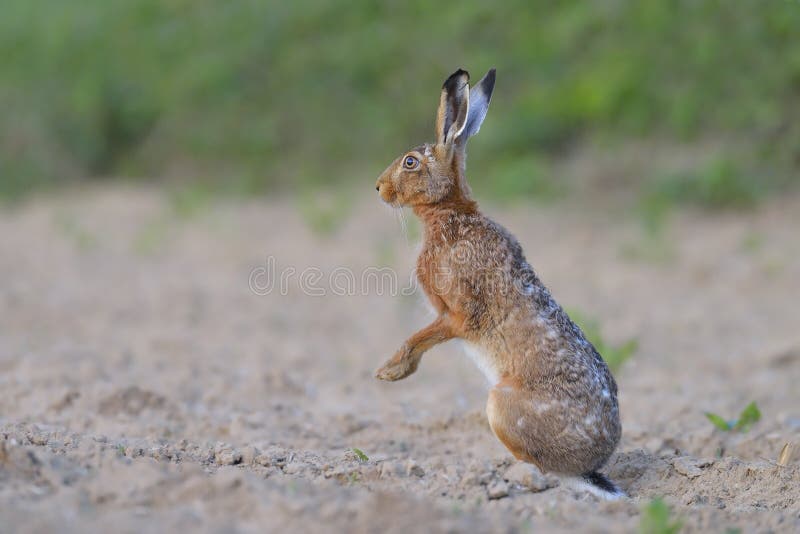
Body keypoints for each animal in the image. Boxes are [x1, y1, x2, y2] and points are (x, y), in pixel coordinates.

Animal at [374, 68, 623, 498]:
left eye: (410, 162)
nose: (378, 187)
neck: (450, 215)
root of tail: (592, 465)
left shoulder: (460, 312)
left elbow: (423, 335)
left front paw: (390, 371)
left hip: (500, 408)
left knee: (544, 468)